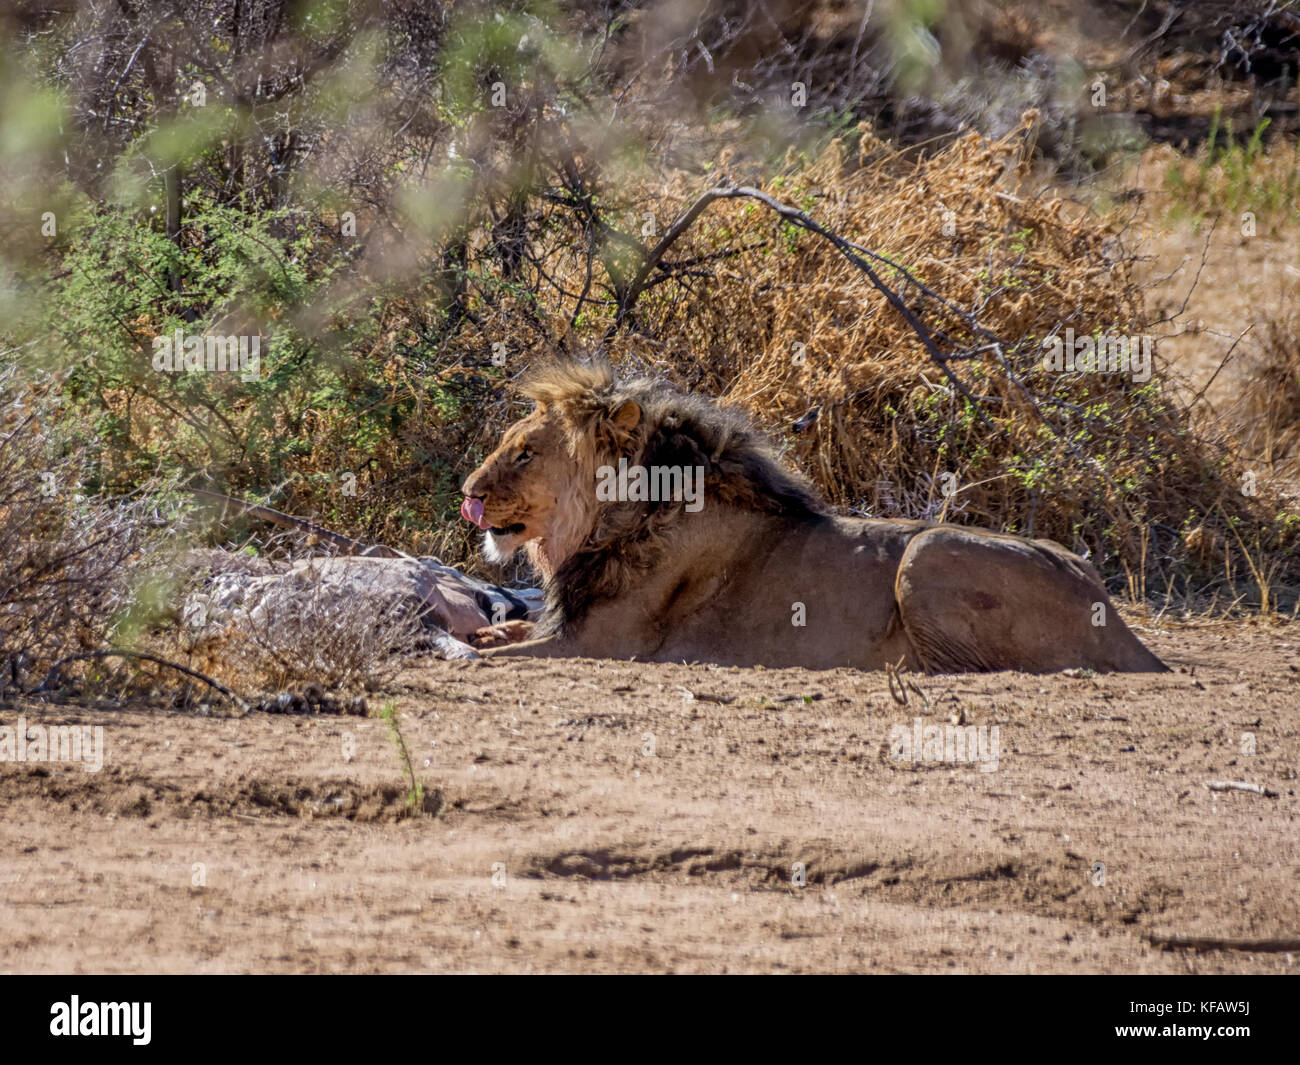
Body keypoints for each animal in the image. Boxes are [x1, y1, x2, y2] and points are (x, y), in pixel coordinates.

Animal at [460, 361, 1167, 673]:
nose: (467, 493)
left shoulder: (600, 644)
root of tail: (1116, 621)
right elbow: (502, 635)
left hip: (928, 552)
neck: (612, 522)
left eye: (524, 453)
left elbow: (503, 656)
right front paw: (482, 634)